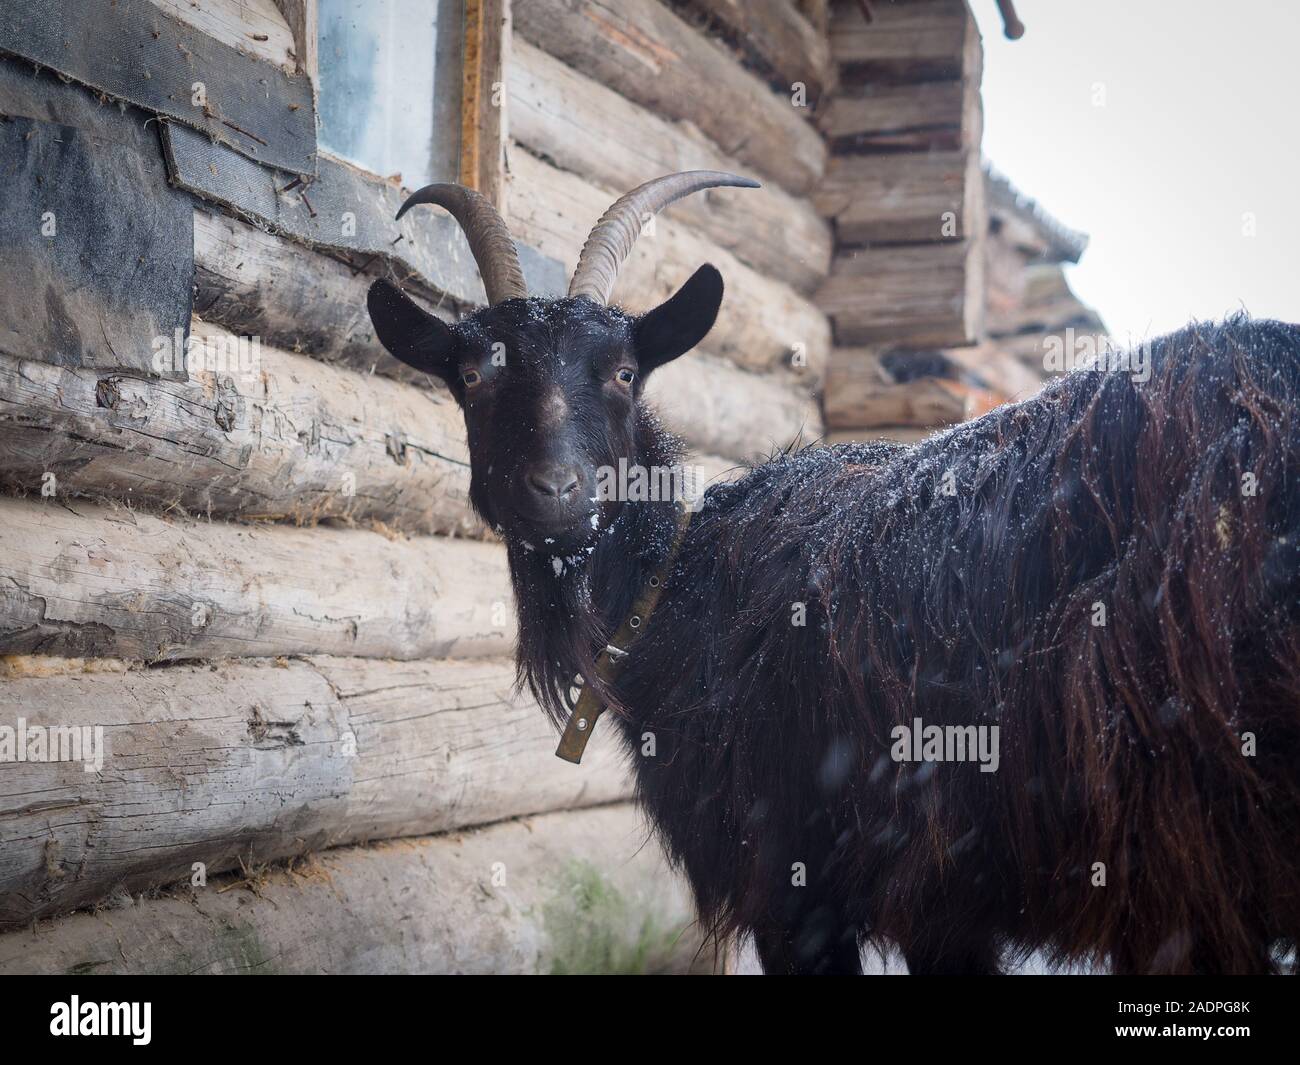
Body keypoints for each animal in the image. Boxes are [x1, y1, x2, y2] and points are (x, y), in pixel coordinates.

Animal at [368, 175, 1300, 974]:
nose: (558, 492)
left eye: (625, 373)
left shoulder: (794, 879)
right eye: (472, 375)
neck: (676, 584)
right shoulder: (943, 905)